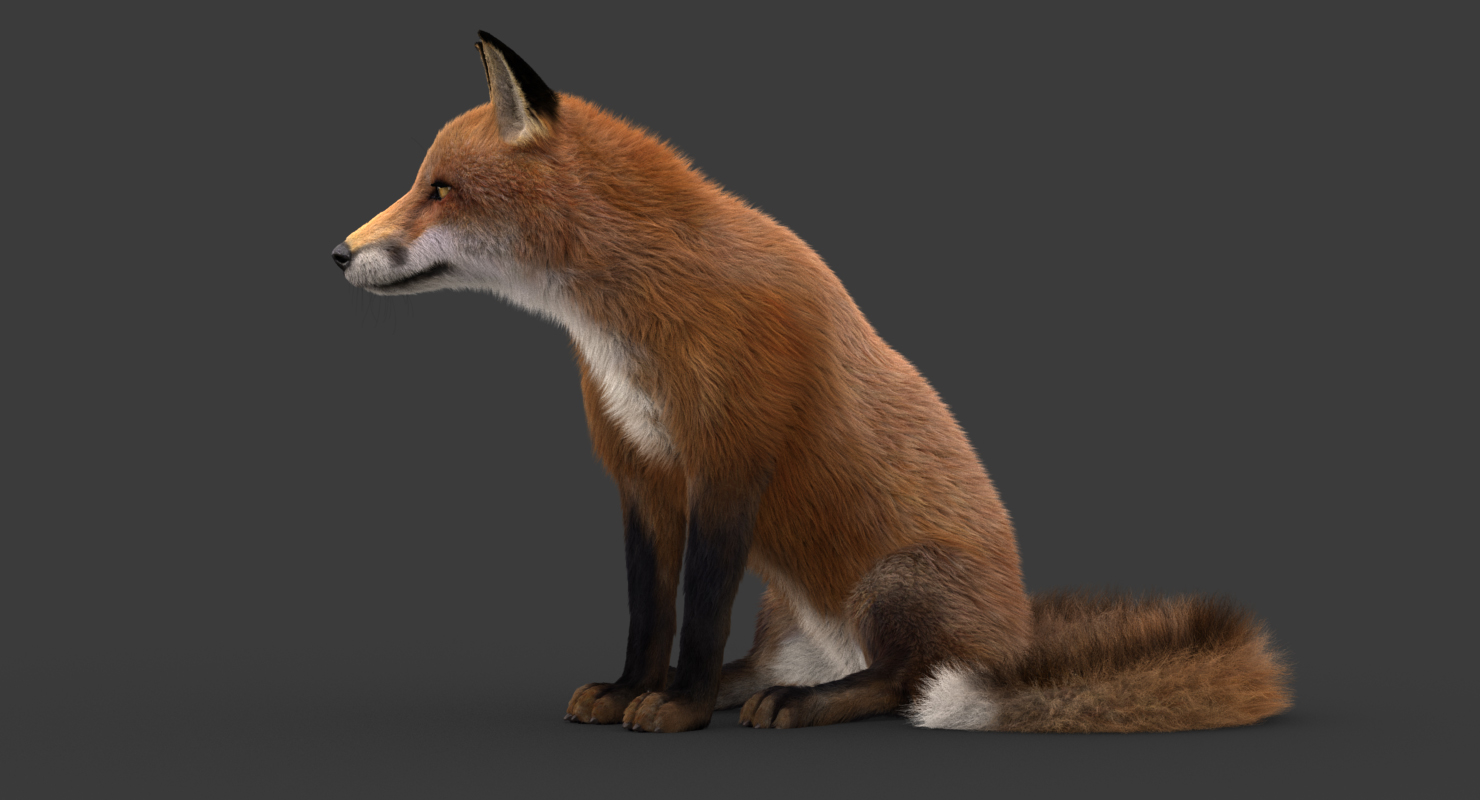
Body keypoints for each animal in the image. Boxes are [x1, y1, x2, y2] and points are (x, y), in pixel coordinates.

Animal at [332, 32, 1292, 733]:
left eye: (440, 189)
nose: (339, 253)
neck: (634, 321)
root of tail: (1019, 635)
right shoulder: (643, 477)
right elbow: (650, 615)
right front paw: (630, 691)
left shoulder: (729, 465)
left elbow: (697, 613)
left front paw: (676, 708)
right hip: (786, 613)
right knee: (764, 666)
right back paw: (757, 689)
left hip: (894, 587)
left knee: (904, 683)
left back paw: (799, 703)